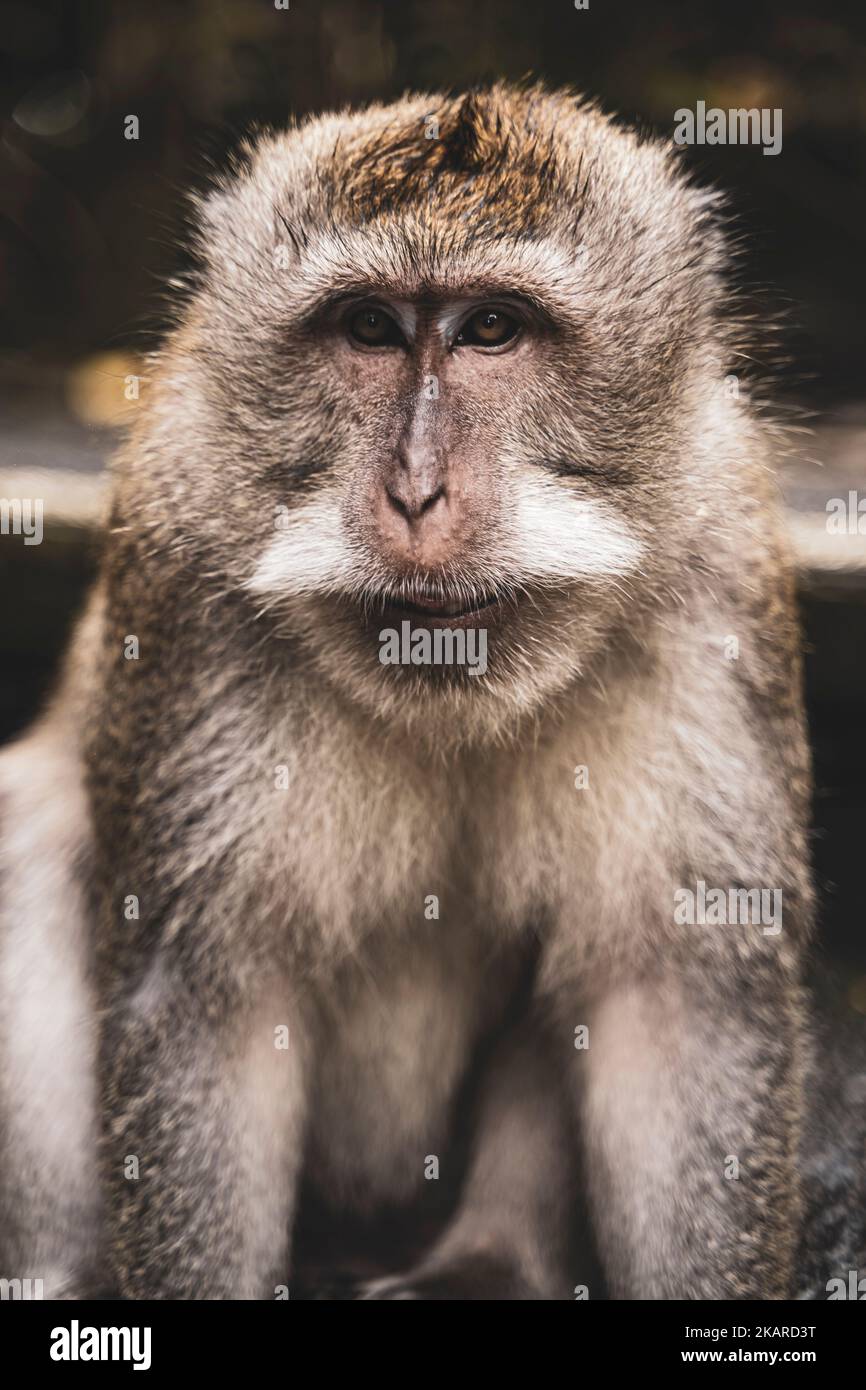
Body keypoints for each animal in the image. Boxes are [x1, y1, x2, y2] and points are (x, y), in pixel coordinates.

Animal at [0, 80, 847, 1302]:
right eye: (368, 329)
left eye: (493, 328)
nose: (413, 490)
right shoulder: (179, 564)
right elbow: (206, 999)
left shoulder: (717, 567)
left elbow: (675, 1000)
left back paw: (489, 1257)